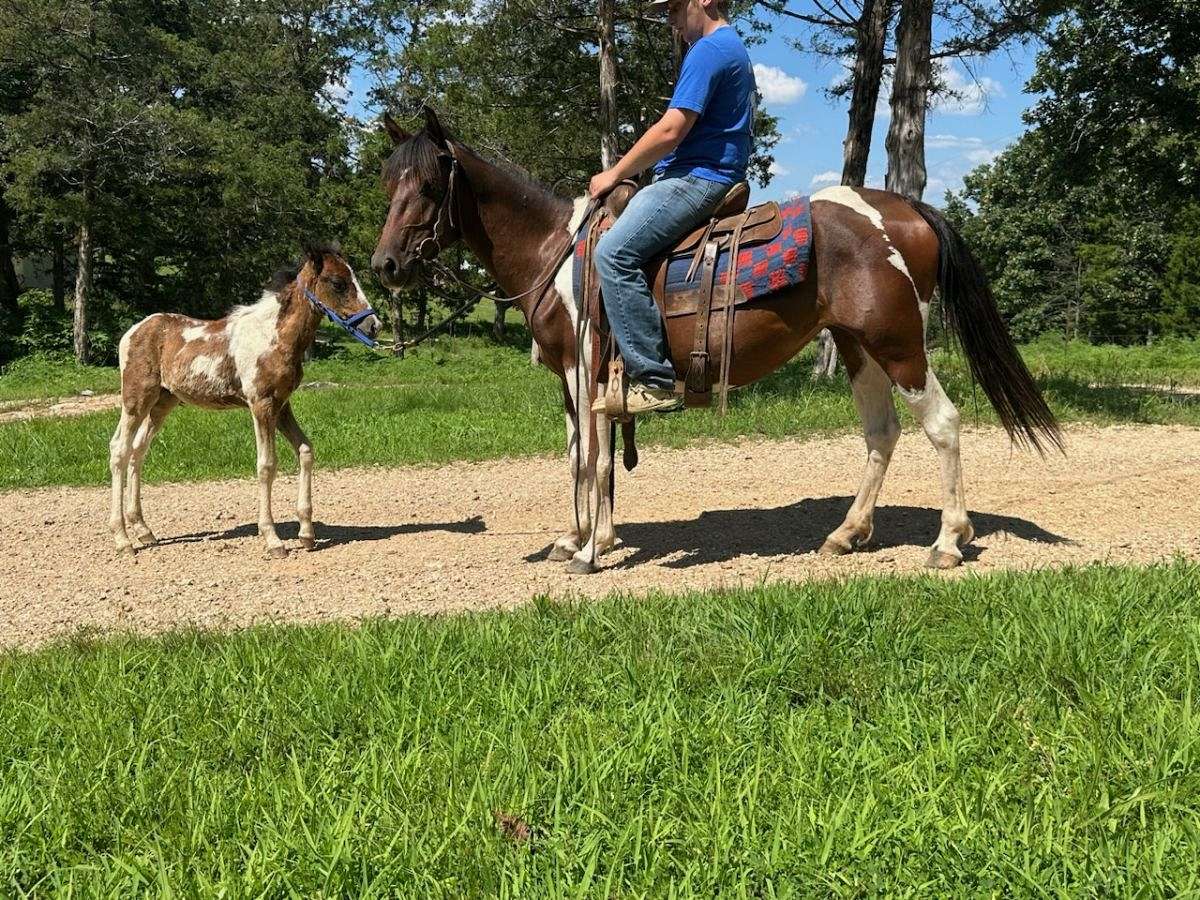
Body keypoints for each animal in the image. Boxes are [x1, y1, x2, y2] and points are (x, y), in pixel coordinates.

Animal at [108, 243, 381, 558]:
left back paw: (144, 531)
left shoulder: (281, 405)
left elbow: (305, 450)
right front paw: (273, 540)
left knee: (138, 451)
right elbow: (267, 465)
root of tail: (131, 332)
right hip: (136, 399)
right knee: (119, 449)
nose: (374, 325)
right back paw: (122, 539)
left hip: (163, 403)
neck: (273, 337)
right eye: (338, 283)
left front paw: (306, 534)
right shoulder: (260, 404)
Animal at [371, 107, 1061, 573]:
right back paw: (847, 532)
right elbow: (578, 456)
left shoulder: (586, 368)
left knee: (942, 424)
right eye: (387, 184)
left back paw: (948, 542)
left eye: (428, 187)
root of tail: (908, 210)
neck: (556, 252)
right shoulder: (574, 377)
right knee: (881, 434)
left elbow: (593, 459)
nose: (385, 265)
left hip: (898, 345)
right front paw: (579, 537)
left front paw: (591, 549)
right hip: (857, 346)